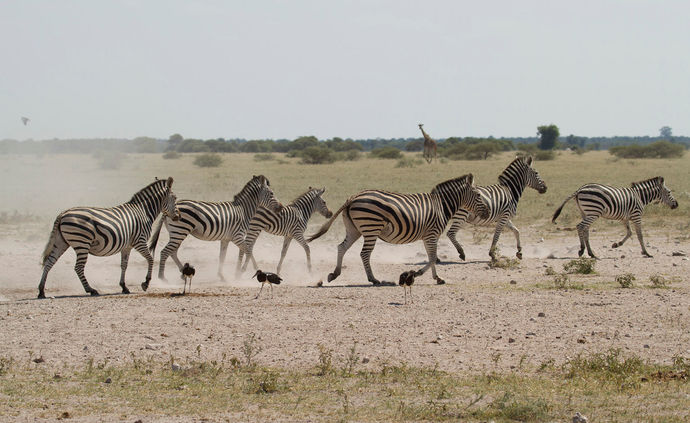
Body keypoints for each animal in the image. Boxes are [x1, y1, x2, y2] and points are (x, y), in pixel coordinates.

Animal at [38, 177, 180, 299]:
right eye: (175, 198)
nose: (178, 216)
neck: (143, 212)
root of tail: (63, 213)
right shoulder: (139, 241)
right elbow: (150, 259)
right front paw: (146, 283)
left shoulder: (127, 246)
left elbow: (124, 265)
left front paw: (124, 287)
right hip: (82, 242)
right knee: (78, 267)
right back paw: (91, 290)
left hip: (61, 242)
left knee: (49, 263)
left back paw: (41, 291)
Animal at [307, 174, 488, 285]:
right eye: (479, 196)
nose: (487, 212)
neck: (441, 206)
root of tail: (352, 197)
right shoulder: (432, 234)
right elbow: (432, 258)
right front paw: (417, 274)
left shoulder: (428, 236)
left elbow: (432, 257)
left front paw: (437, 278)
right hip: (371, 227)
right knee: (364, 253)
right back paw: (373, 279)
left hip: (354, 230)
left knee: (341, 247)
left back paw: (334, 274)